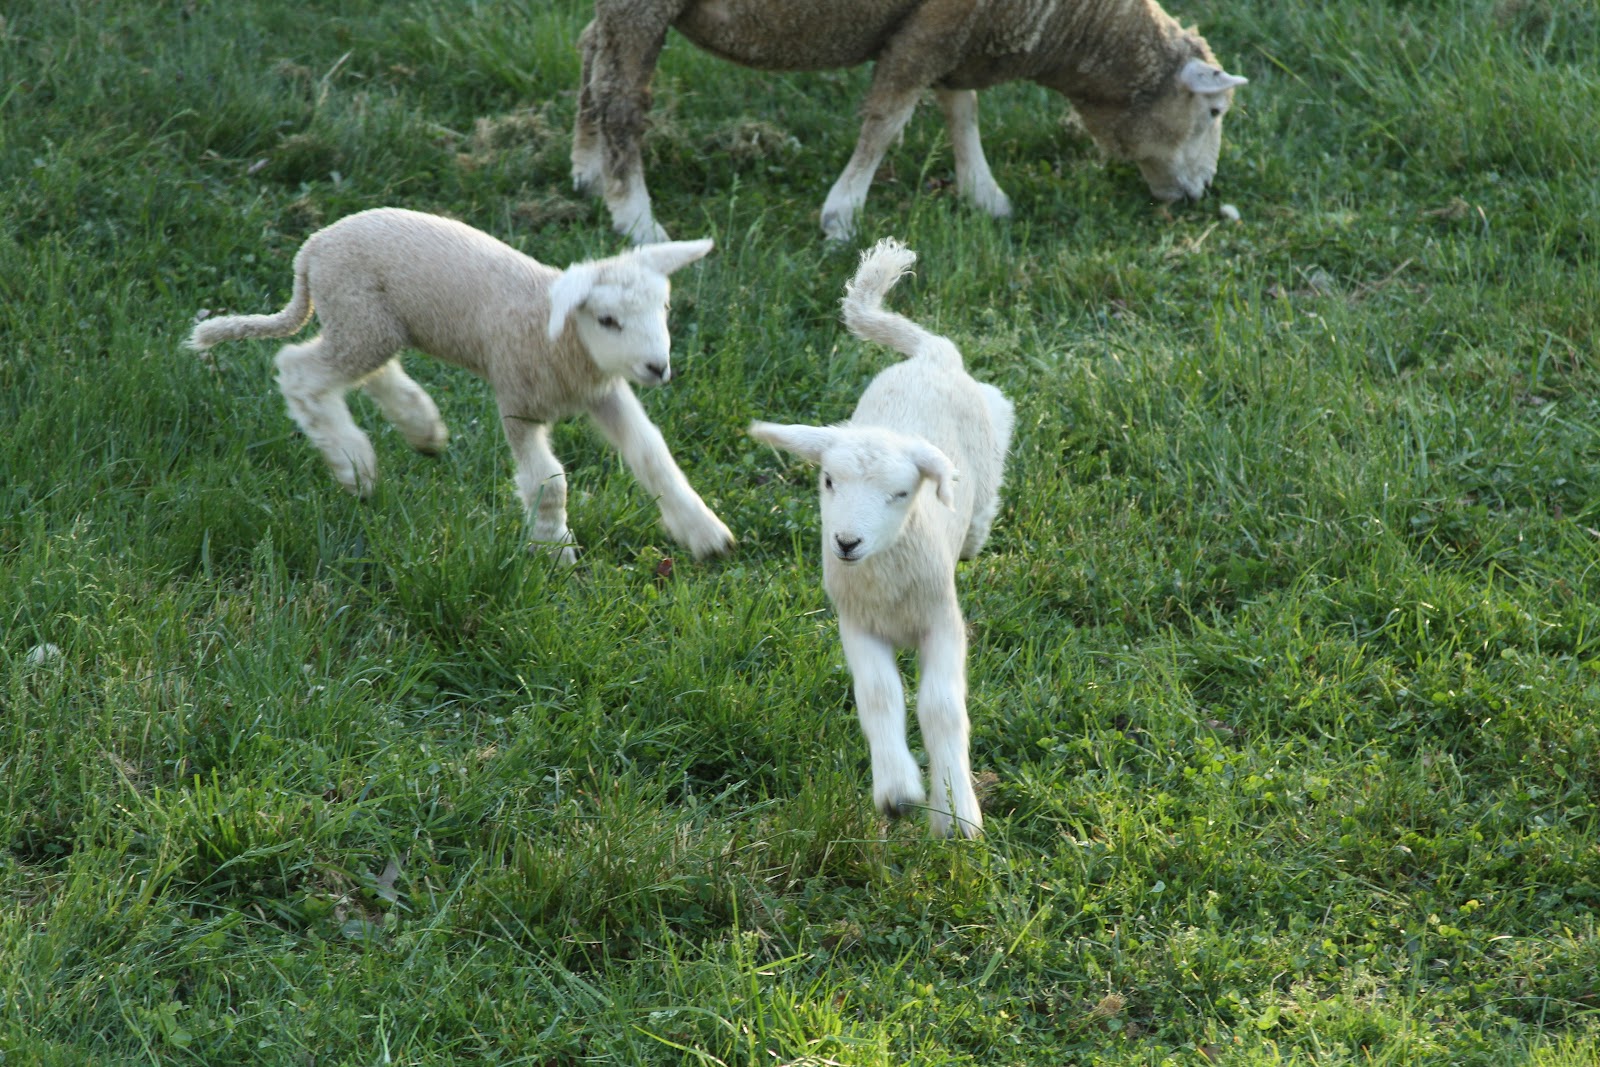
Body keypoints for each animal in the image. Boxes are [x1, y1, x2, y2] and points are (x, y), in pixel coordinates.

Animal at [186, 207, 734, 563]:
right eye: (607, 320)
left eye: (664, 308)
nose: (658, 368)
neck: (560, 339)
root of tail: (313, 245)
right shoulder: (519, 398)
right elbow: (549, 482)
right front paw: (553, 551)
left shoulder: (603, 393)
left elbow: (652, 454)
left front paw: (706, 534)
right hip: (360, 315)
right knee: (299, 369)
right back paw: (354, 466)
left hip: (372, 324)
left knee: (366, 370)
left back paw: (421, 429)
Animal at [571, 0, 1247, 243]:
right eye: (1214, 111)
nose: (1202, 192)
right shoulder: (930, 29)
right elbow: (886, 120)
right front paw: (841, 217)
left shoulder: (957, 33)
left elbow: (961, 110)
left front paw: (983, 194)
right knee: (621, 98)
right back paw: (636, 218)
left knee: (591, 53)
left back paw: (587, 170)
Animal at [749, 237, 1014, 838]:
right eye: (827, 481)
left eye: (900, 493)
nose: (846, 542)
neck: (887, 580)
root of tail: (932, 356)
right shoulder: (857, 623)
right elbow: (879, 696)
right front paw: (897, 792)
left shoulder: (942, 619)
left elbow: (941, 707)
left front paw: (956, 814)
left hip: (983, 472)